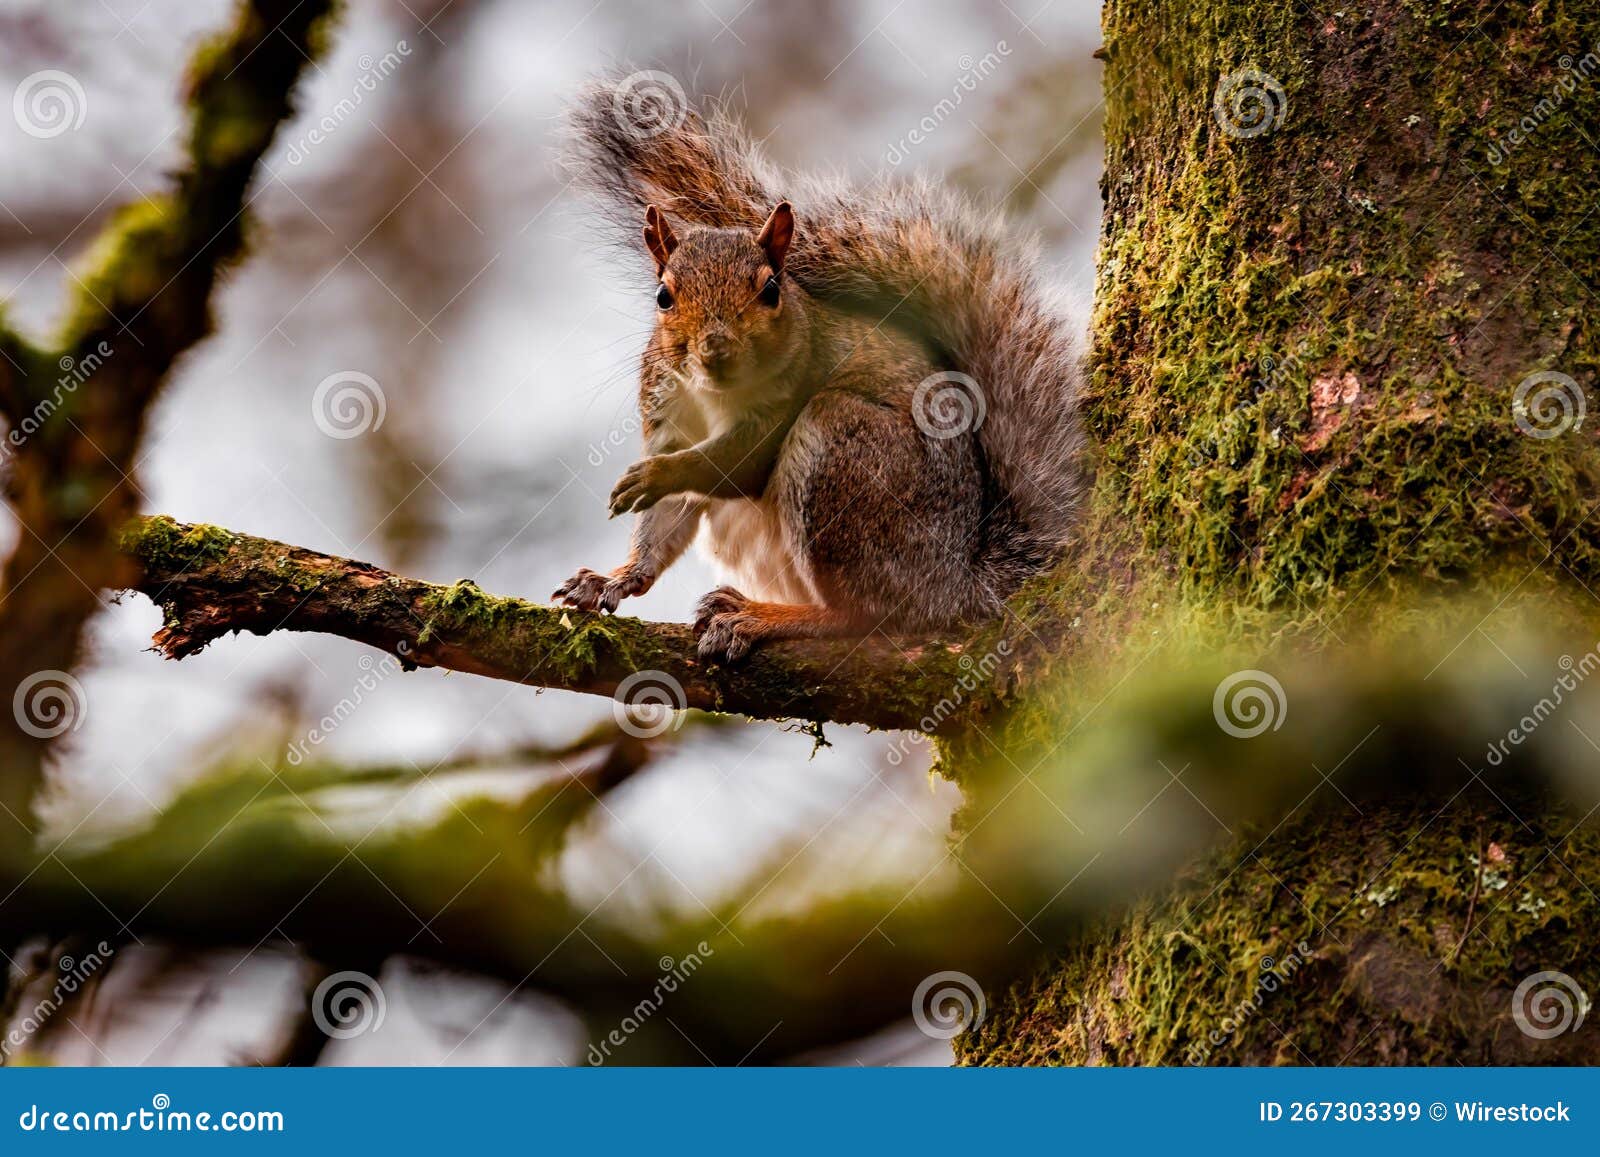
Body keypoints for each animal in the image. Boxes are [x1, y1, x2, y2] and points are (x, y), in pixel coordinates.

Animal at [553, 80, 1088, 663]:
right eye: (663, 296)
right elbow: (667, 518)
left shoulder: (796, 383)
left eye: (770, 289)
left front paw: (655, 476)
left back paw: (761, 617)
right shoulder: (667, 410)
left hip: (847, 460)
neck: (715, 395)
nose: (716, 349)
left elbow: (737, 464)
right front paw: (616, 578)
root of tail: (958, 579)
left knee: (867, 616)